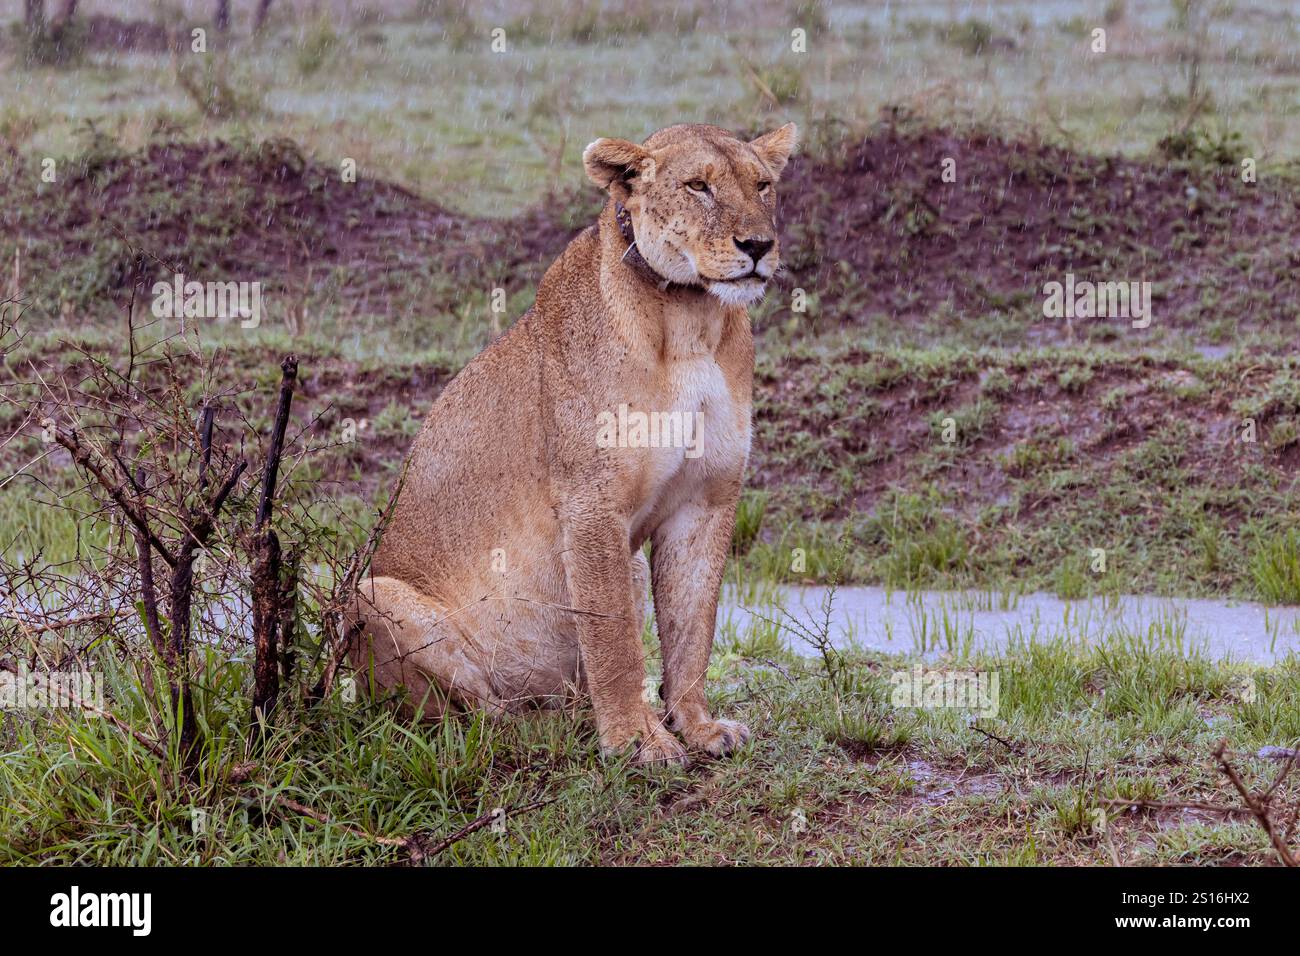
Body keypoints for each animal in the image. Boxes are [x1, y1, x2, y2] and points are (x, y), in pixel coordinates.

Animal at [347, 122, 798, 765]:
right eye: (698, 186)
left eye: (762, 186)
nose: (759, 245)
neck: (692, 321)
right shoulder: (592, 502)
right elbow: (613, 636)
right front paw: (637, 740)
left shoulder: (706, 499)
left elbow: (693, 625)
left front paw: (697, 726)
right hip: (370, 594)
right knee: (470, 717)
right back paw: (549, 726)